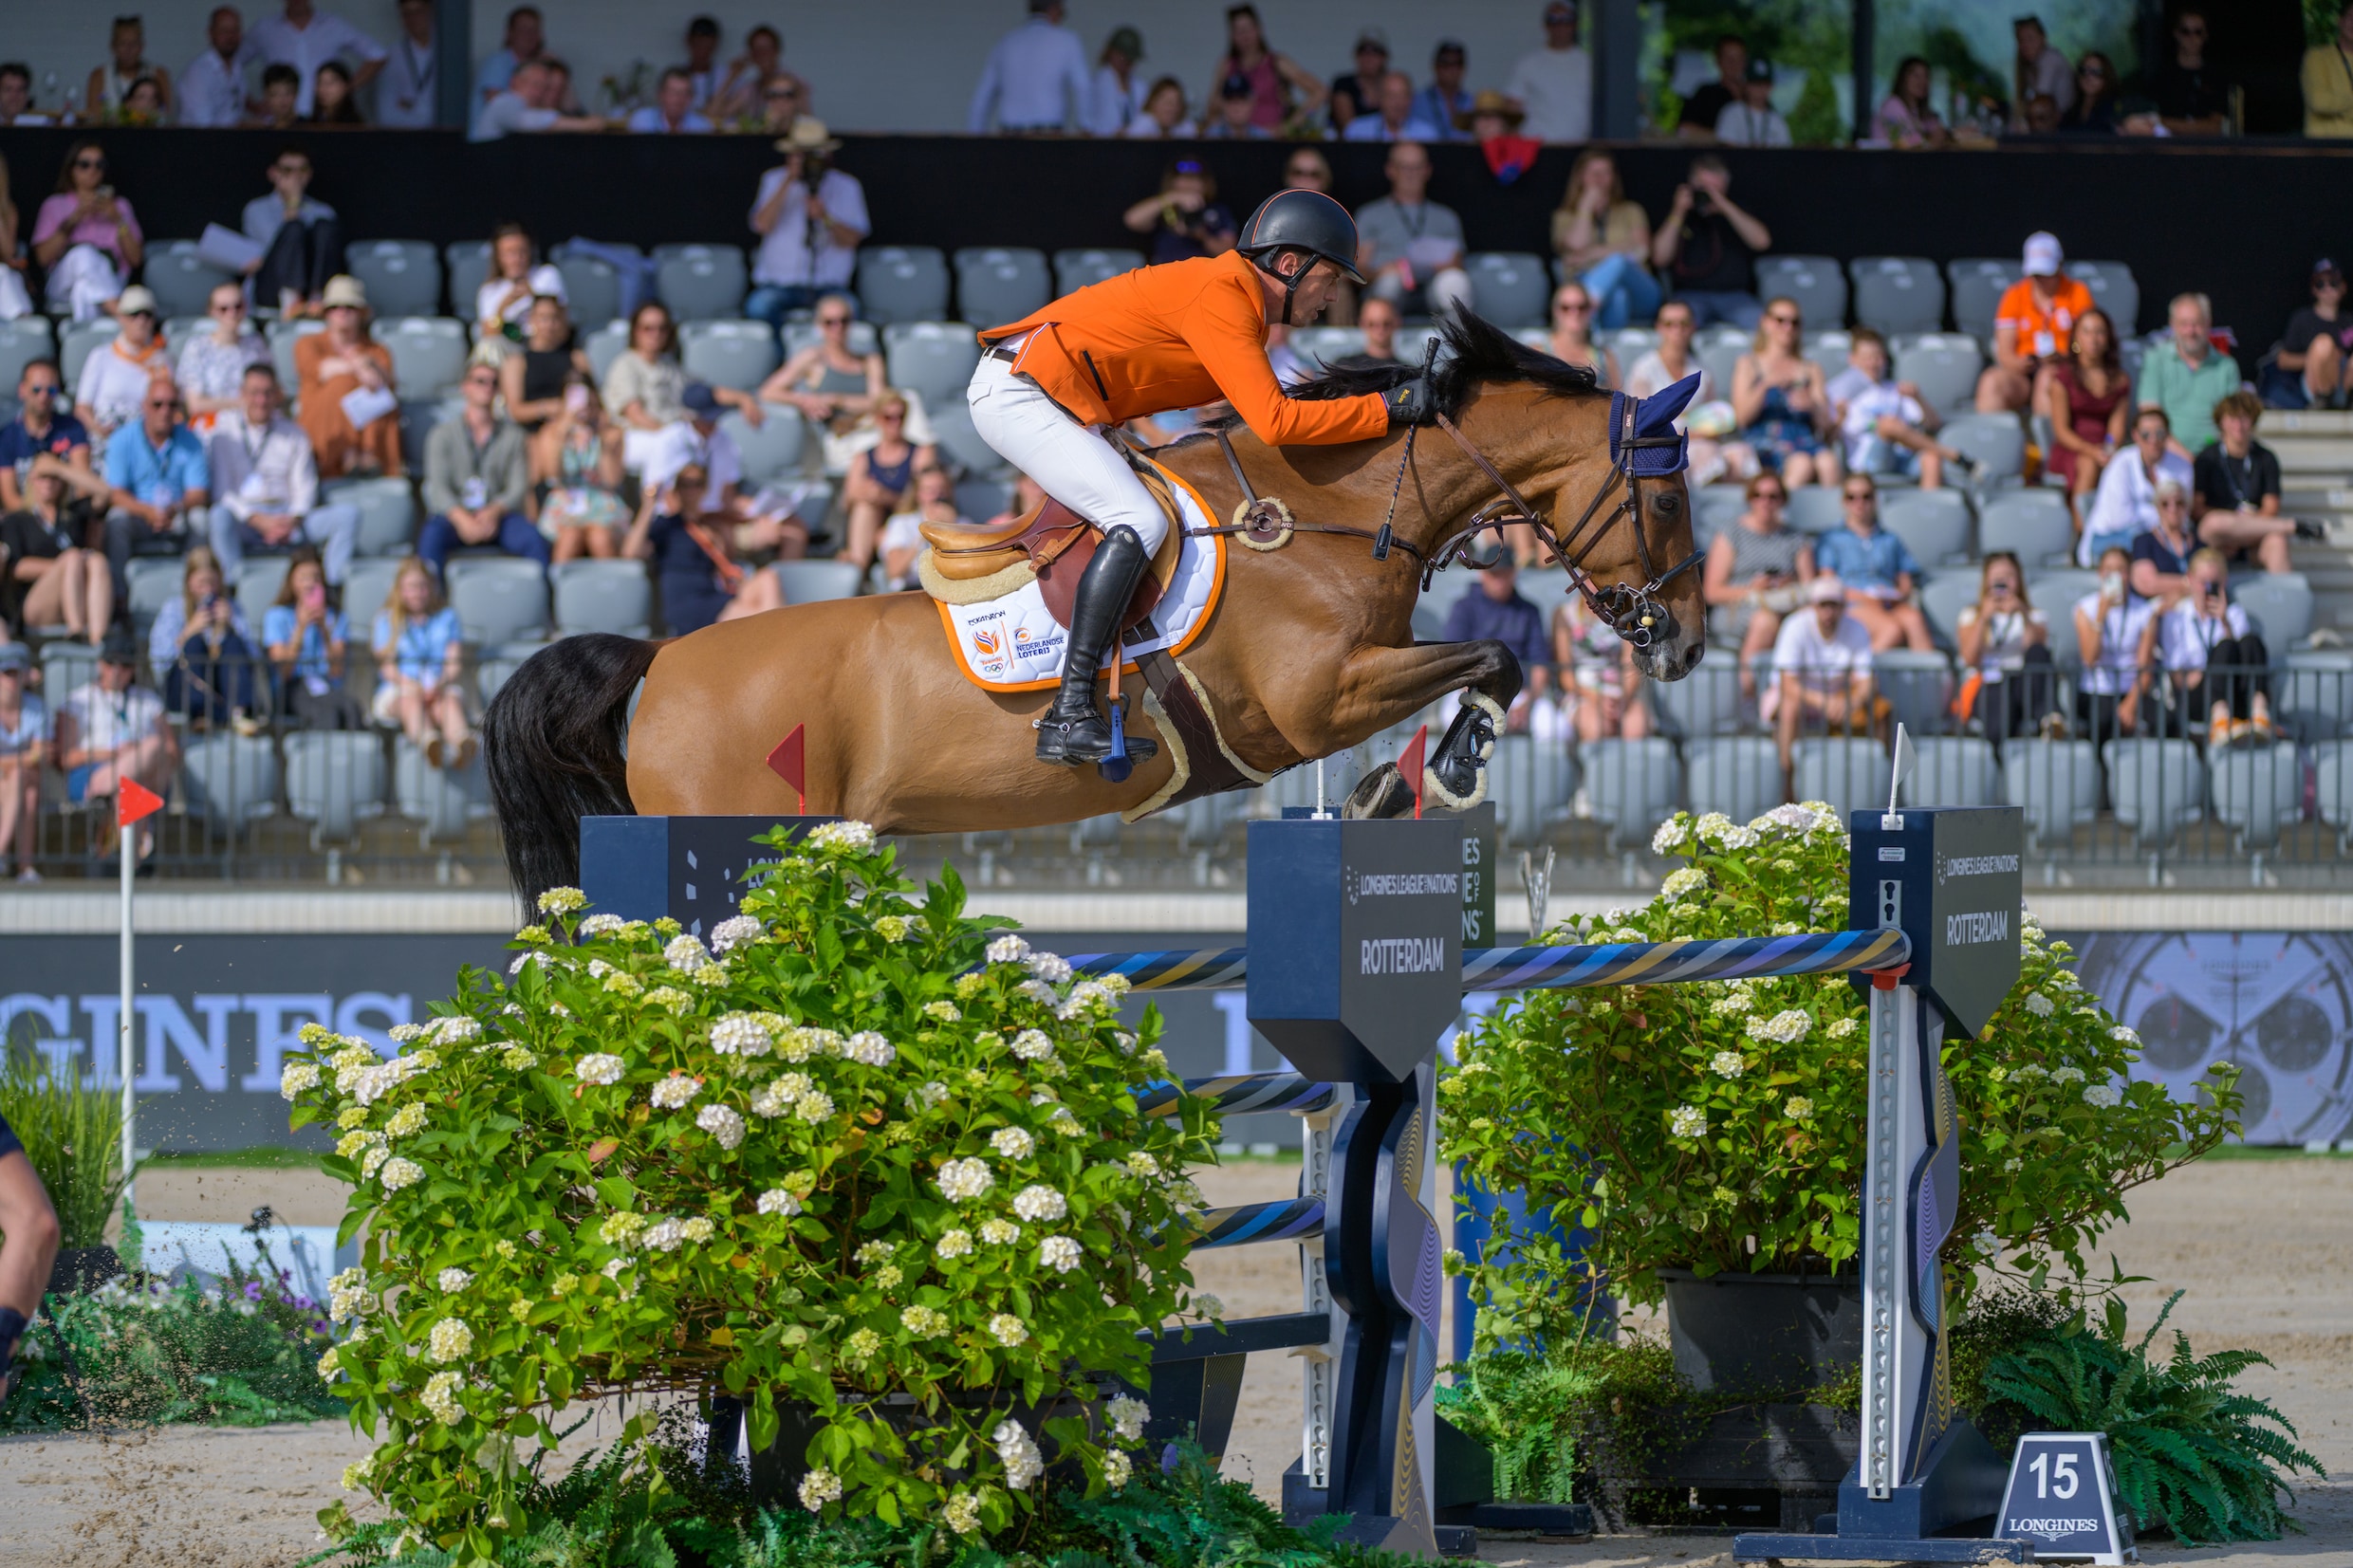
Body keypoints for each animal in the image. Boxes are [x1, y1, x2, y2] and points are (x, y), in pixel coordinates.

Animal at [486, 313, 1703, 905]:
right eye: (1665, 495)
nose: (1685, 644)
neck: (1319, 516)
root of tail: (657, 660)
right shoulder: (1312, 703)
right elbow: (1491, 660)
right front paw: (1419, 782)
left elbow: (1490, 666)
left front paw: (1401, 787)